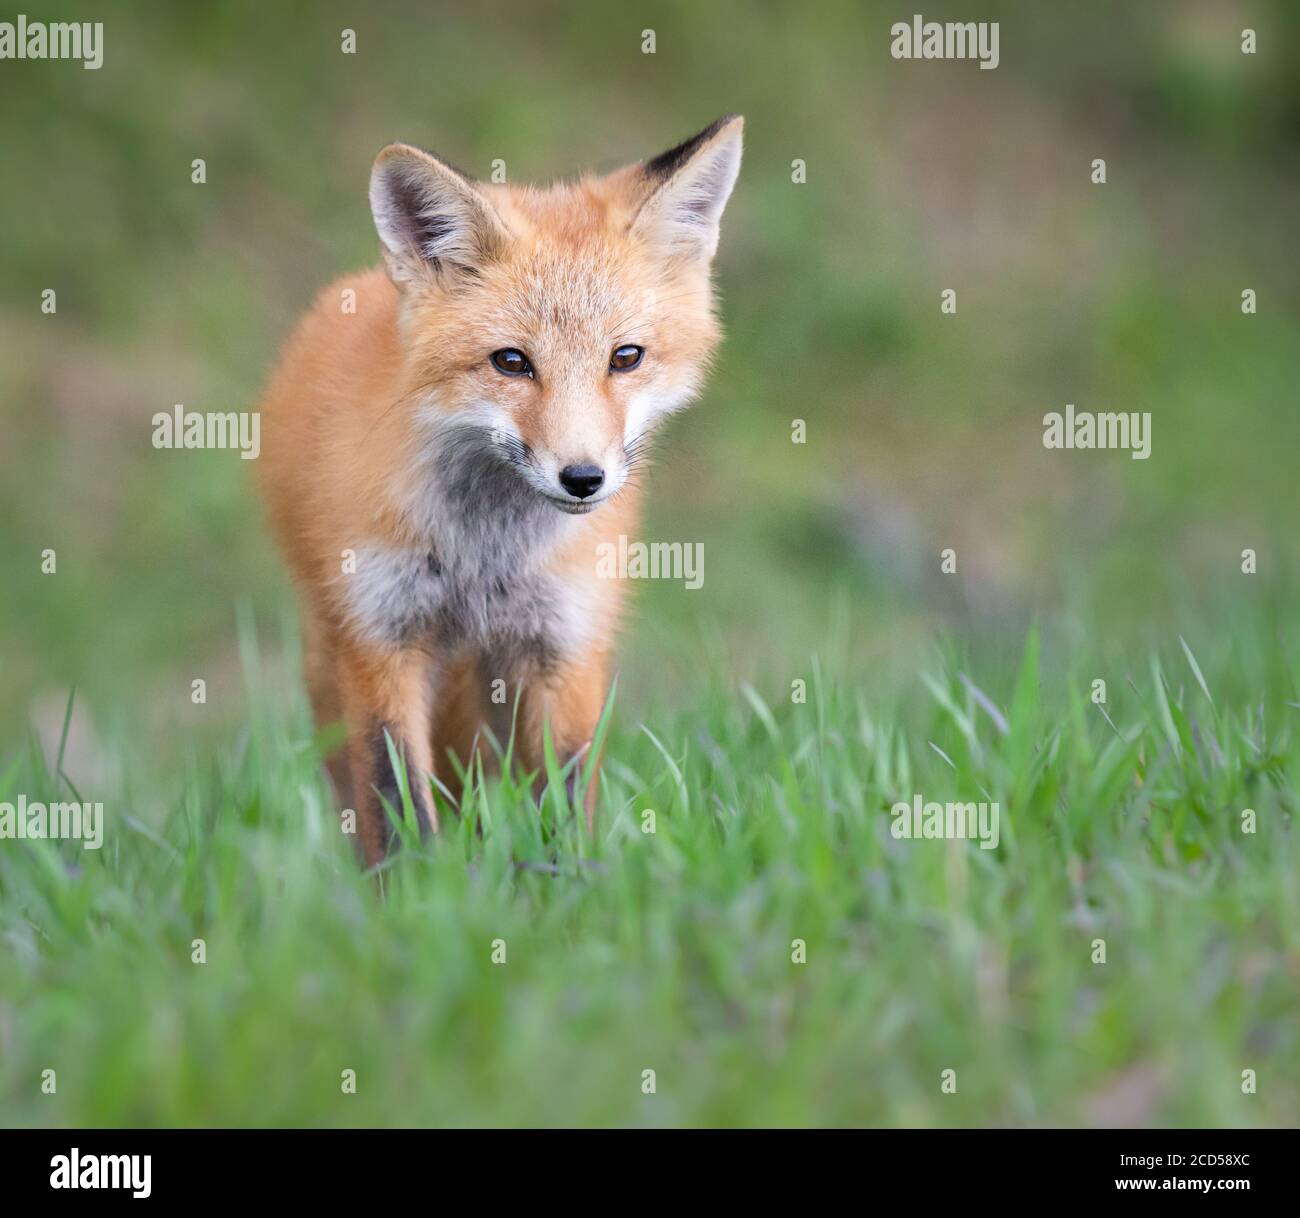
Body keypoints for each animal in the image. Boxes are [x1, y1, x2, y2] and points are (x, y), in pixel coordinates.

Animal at [257, 115, 743, 867]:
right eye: (512, 362)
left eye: (625, 357)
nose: (584, 478)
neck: (483, 554)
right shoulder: (380, 640)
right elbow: (396, 801)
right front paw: (415, 891)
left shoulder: (563, 646)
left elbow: (567, 801)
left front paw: (570, 887)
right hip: (331, 655)